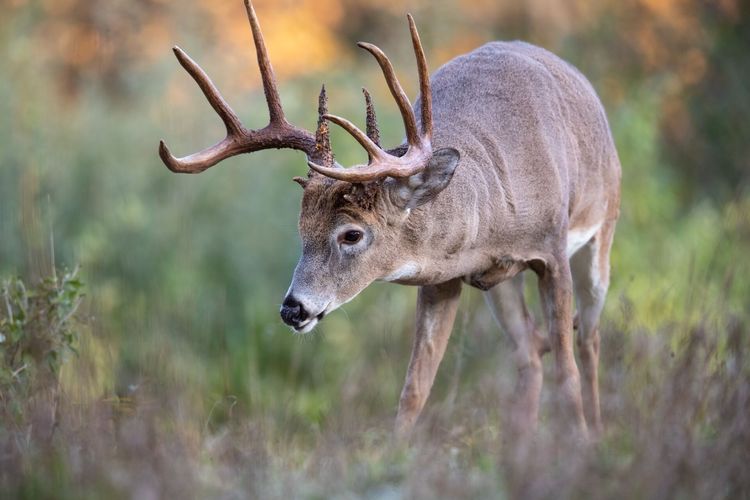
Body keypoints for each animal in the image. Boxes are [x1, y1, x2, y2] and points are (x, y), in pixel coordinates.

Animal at [158, 0, 621, 439]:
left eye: (352, 234)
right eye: (301, 229)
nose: (292, 309)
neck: (489, 214)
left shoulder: (551, 251)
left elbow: (568, 372)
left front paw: (579, 444)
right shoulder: (445, 278)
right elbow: (414, 388)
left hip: (603, 230)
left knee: (588, 338)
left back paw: (596, 433)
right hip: (500, 284)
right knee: (530, 350)